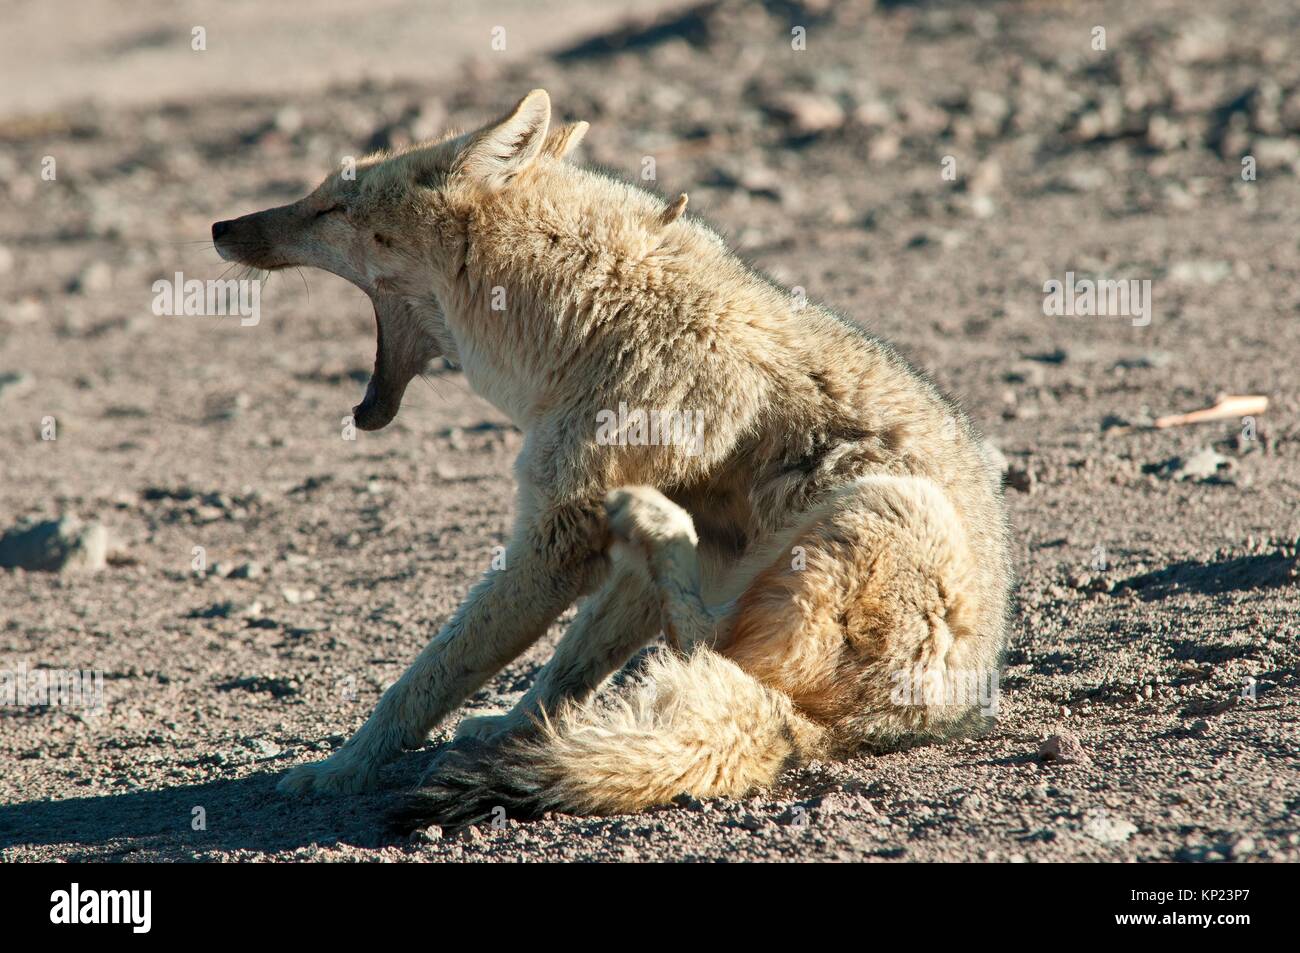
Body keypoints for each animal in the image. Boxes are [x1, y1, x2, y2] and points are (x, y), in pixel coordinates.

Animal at [212, 89, 1013, 831]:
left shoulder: (557, 534)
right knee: (696, 643)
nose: (220, 227)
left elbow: (428, 675)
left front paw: (341, 768)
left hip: (883, 503)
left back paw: (663, 527)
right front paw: (514, 727)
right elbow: (567, 665)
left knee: (708, 641)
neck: (598, 312)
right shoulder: (593, 541)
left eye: (332, 206)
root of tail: (868, 728)